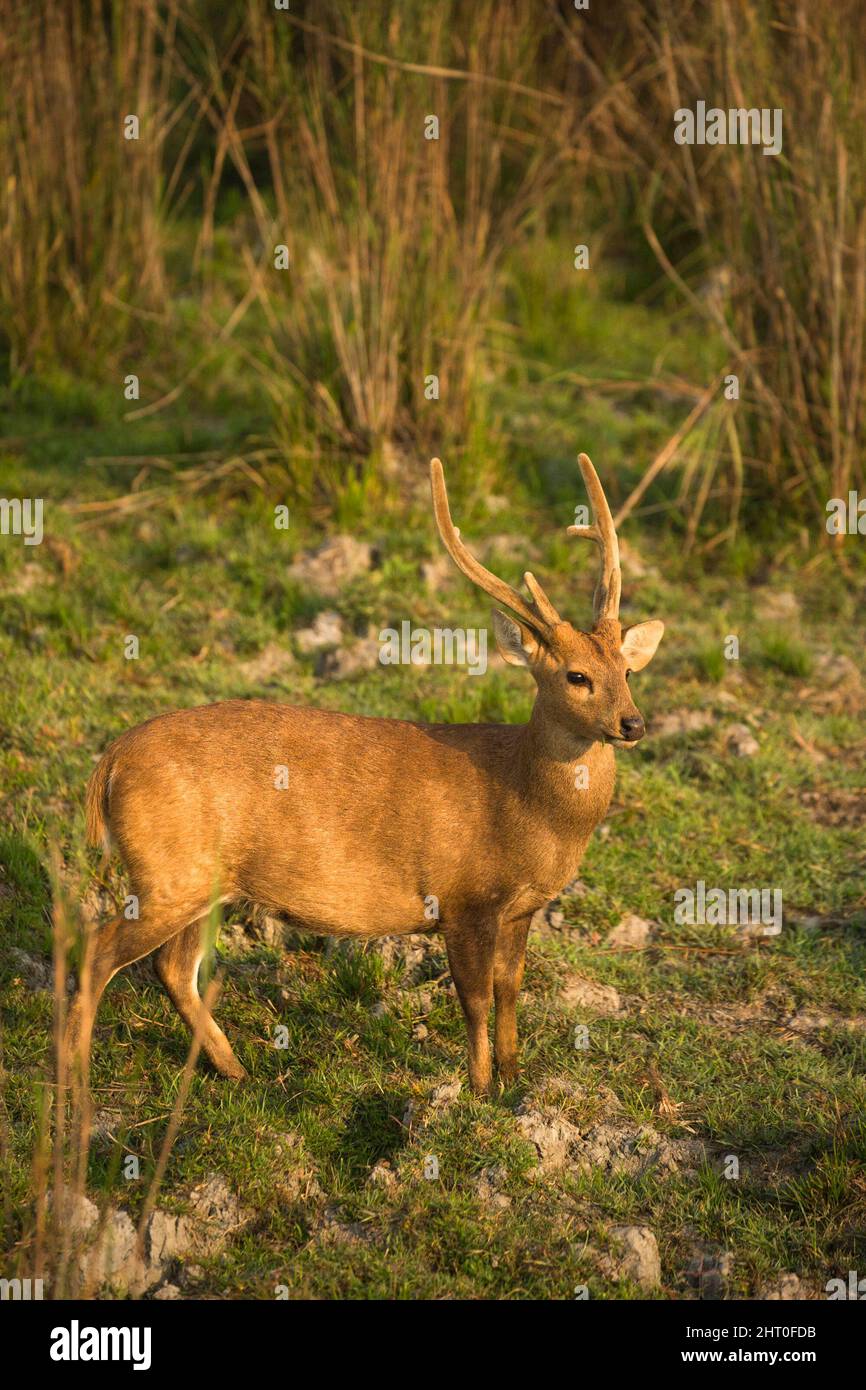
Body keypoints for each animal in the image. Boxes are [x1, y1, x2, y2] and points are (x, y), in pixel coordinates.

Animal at [68, 454, 664, 1095]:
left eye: (628, 669)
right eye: (577, 676)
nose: (632, 723)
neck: (525, 803)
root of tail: (111, 760)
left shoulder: (521, 908)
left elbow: (510, 991)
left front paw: (514, 1080)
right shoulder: (464, 897)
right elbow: (475, 998)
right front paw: (478, 1091)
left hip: (201, 881)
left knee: (173, 967)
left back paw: (237, 1070)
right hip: (166, 871)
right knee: (99, 952)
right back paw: (73, 1078)